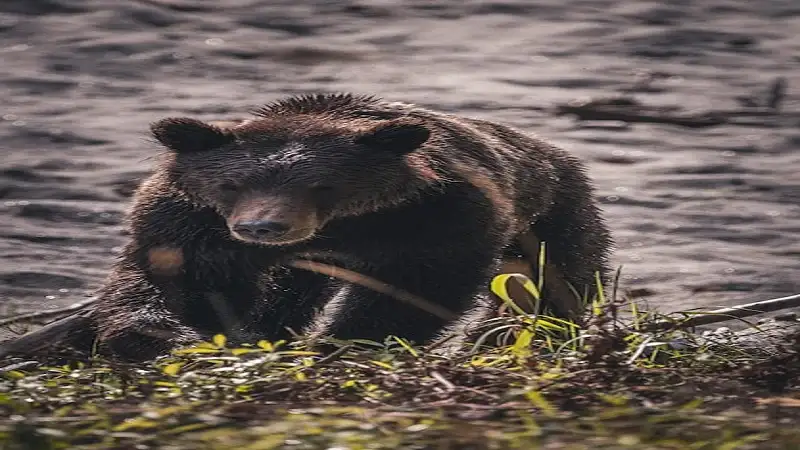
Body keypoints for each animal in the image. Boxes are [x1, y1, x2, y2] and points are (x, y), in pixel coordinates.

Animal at [0, 94, 612, 362]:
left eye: (324, 187)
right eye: (232, 185)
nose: (264, 227)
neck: (338, 232)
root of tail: (551, 151)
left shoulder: (439, 212)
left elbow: (416, 284)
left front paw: (343, 339)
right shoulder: (191, 217)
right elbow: (180, 278)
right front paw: (182, 334)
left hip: (555, 207)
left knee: (555, 278)